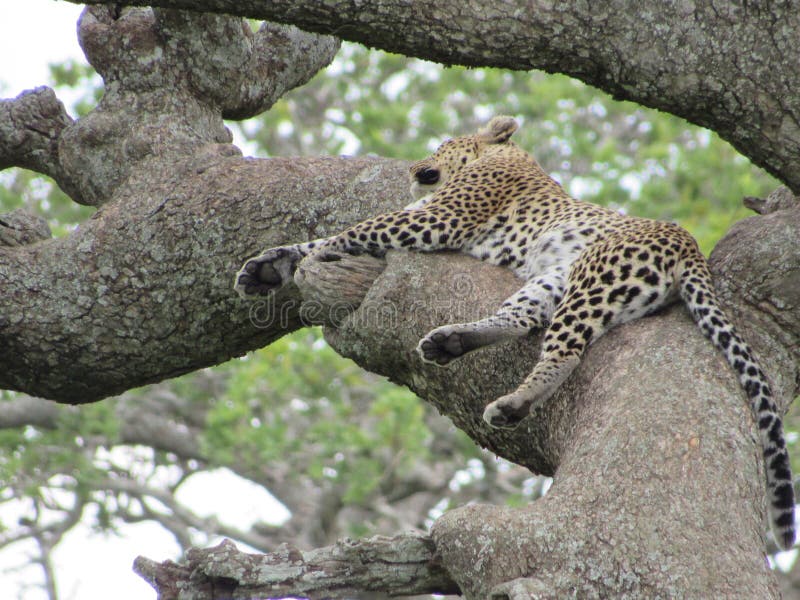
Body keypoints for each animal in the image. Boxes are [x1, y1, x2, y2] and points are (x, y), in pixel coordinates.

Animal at [234, 116, 795, 550]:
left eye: (440, 145)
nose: (415, 168)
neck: (508, 155)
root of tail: (689, 249)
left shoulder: (438, 218)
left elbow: (355, 230)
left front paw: (304, 253)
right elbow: (330, 238)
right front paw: (268, 266)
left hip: (592, 277)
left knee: (566, 349)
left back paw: (512, 403)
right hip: (554, 278)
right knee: (522, 318)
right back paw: (450, 343)